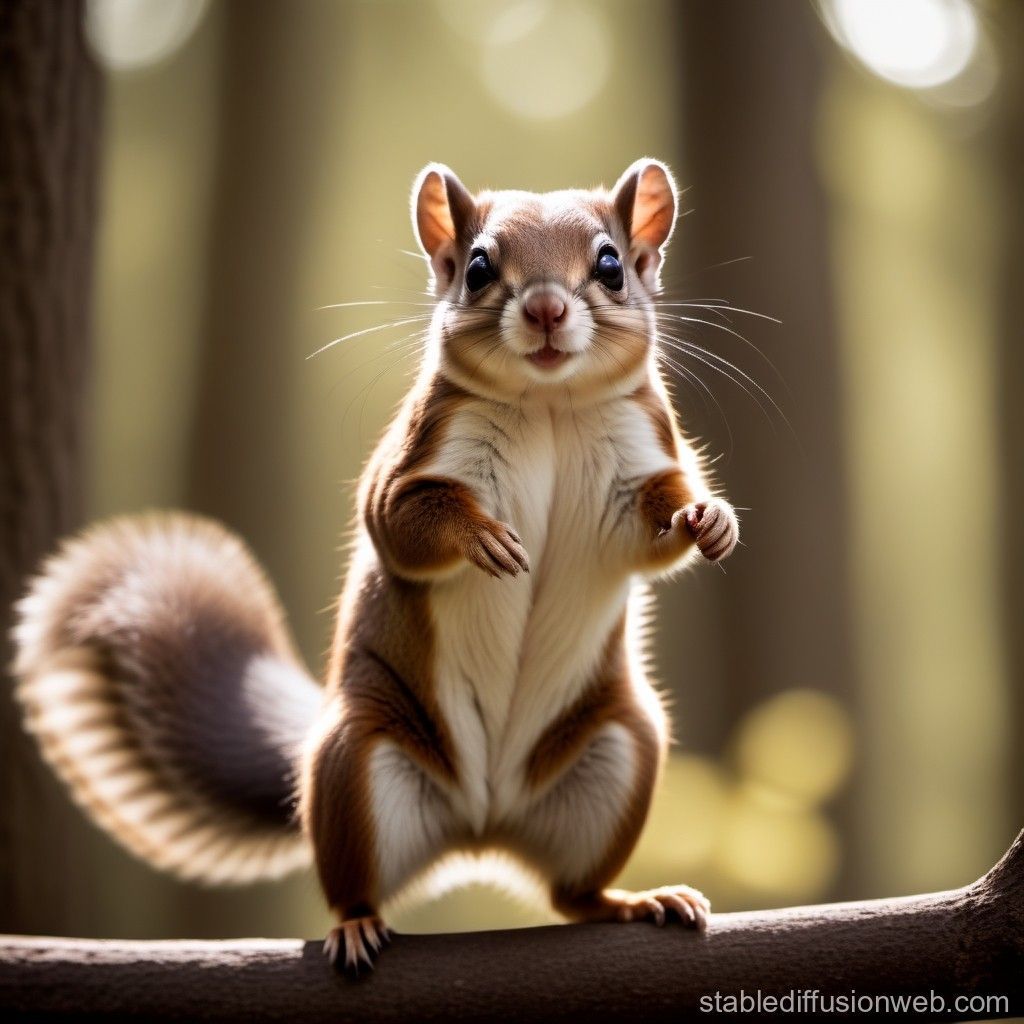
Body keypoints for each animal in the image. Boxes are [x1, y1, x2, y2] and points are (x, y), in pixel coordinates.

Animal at [11, 159, 739, 973]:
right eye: (478, 267)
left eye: (611, 264)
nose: (548, 308)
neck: (548, 404)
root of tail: (480, 827)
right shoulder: (410, 463)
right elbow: (403, 524)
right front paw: (483, 538)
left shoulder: (636, 465)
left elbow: (655, 527)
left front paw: (710, 519)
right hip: (354, 762)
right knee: (354, 882)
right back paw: (357, 924)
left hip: (622, 750)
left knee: (571, 893)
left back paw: (633, 901)